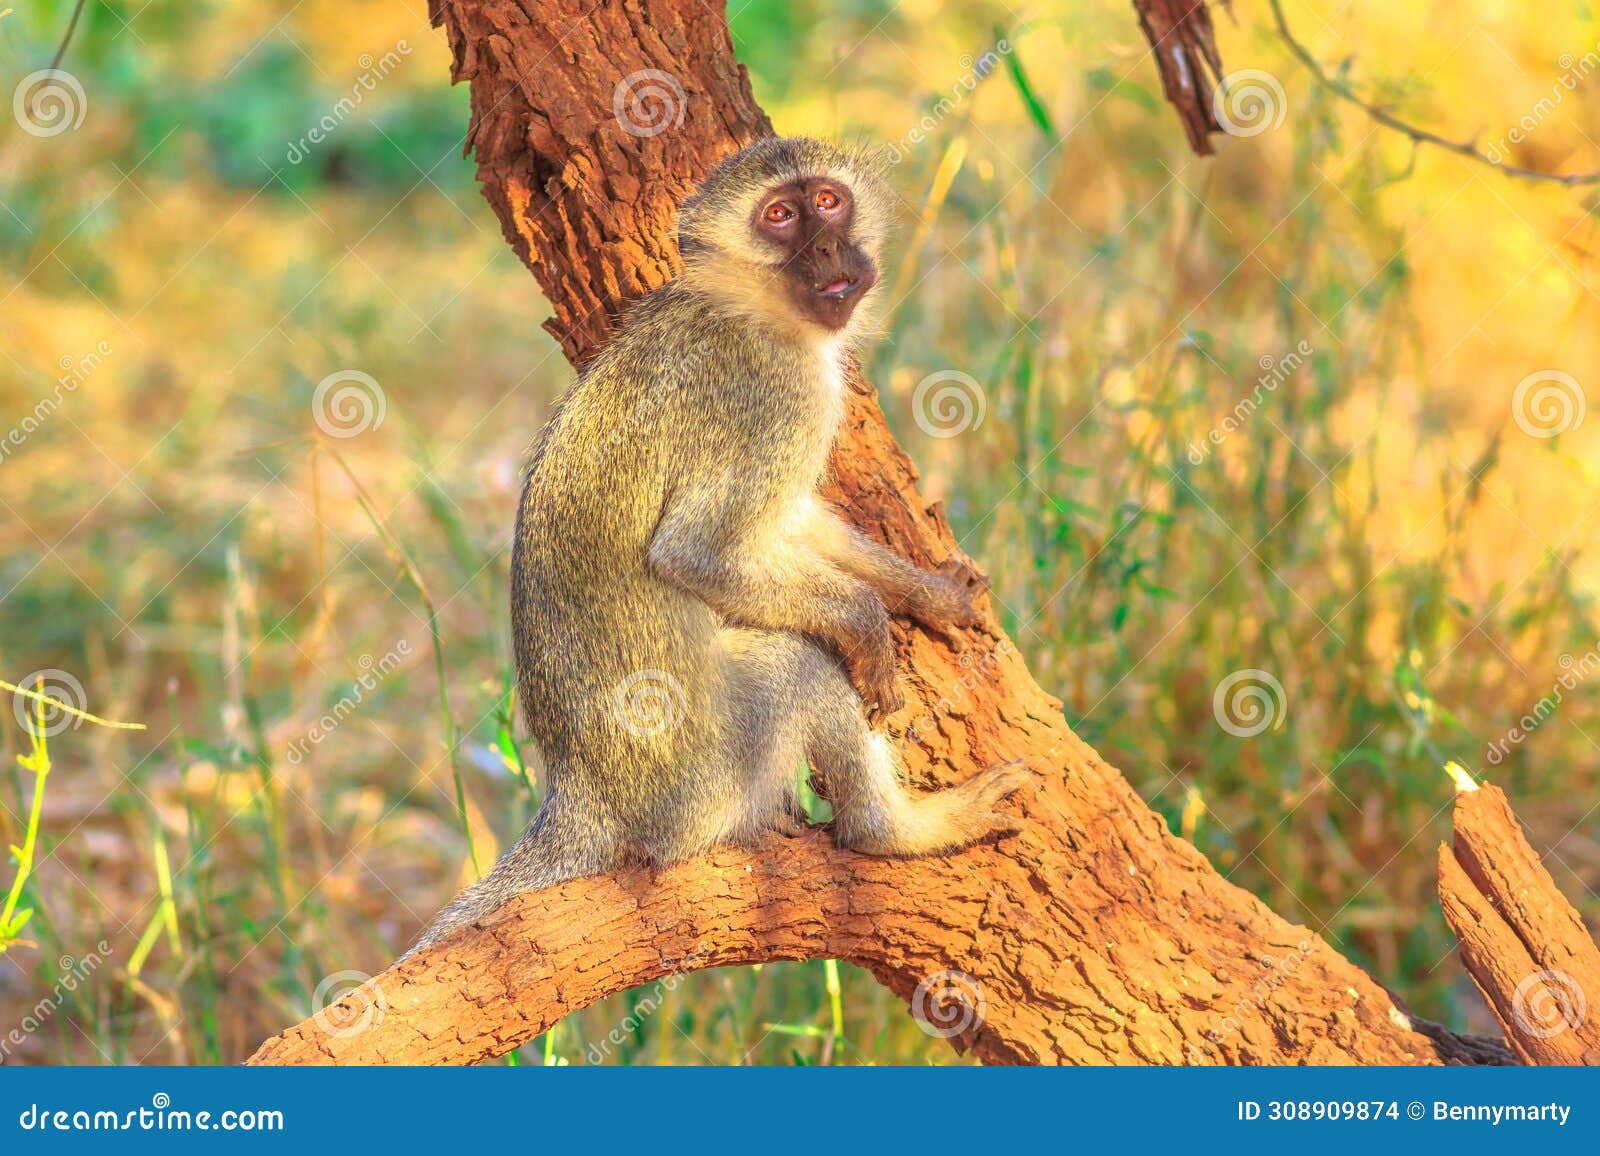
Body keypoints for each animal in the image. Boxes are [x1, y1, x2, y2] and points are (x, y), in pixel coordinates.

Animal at [409, 137, 1028, 954]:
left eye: (826, 201)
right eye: (779, 216)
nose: (827, 246)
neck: (744, 303)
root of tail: (586, 794)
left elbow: (792, 521)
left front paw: (930, 595)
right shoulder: (777, 394)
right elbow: (698, 552)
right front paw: (869, 624)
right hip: (709, 778)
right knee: (797, 663)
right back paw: (892, 832)